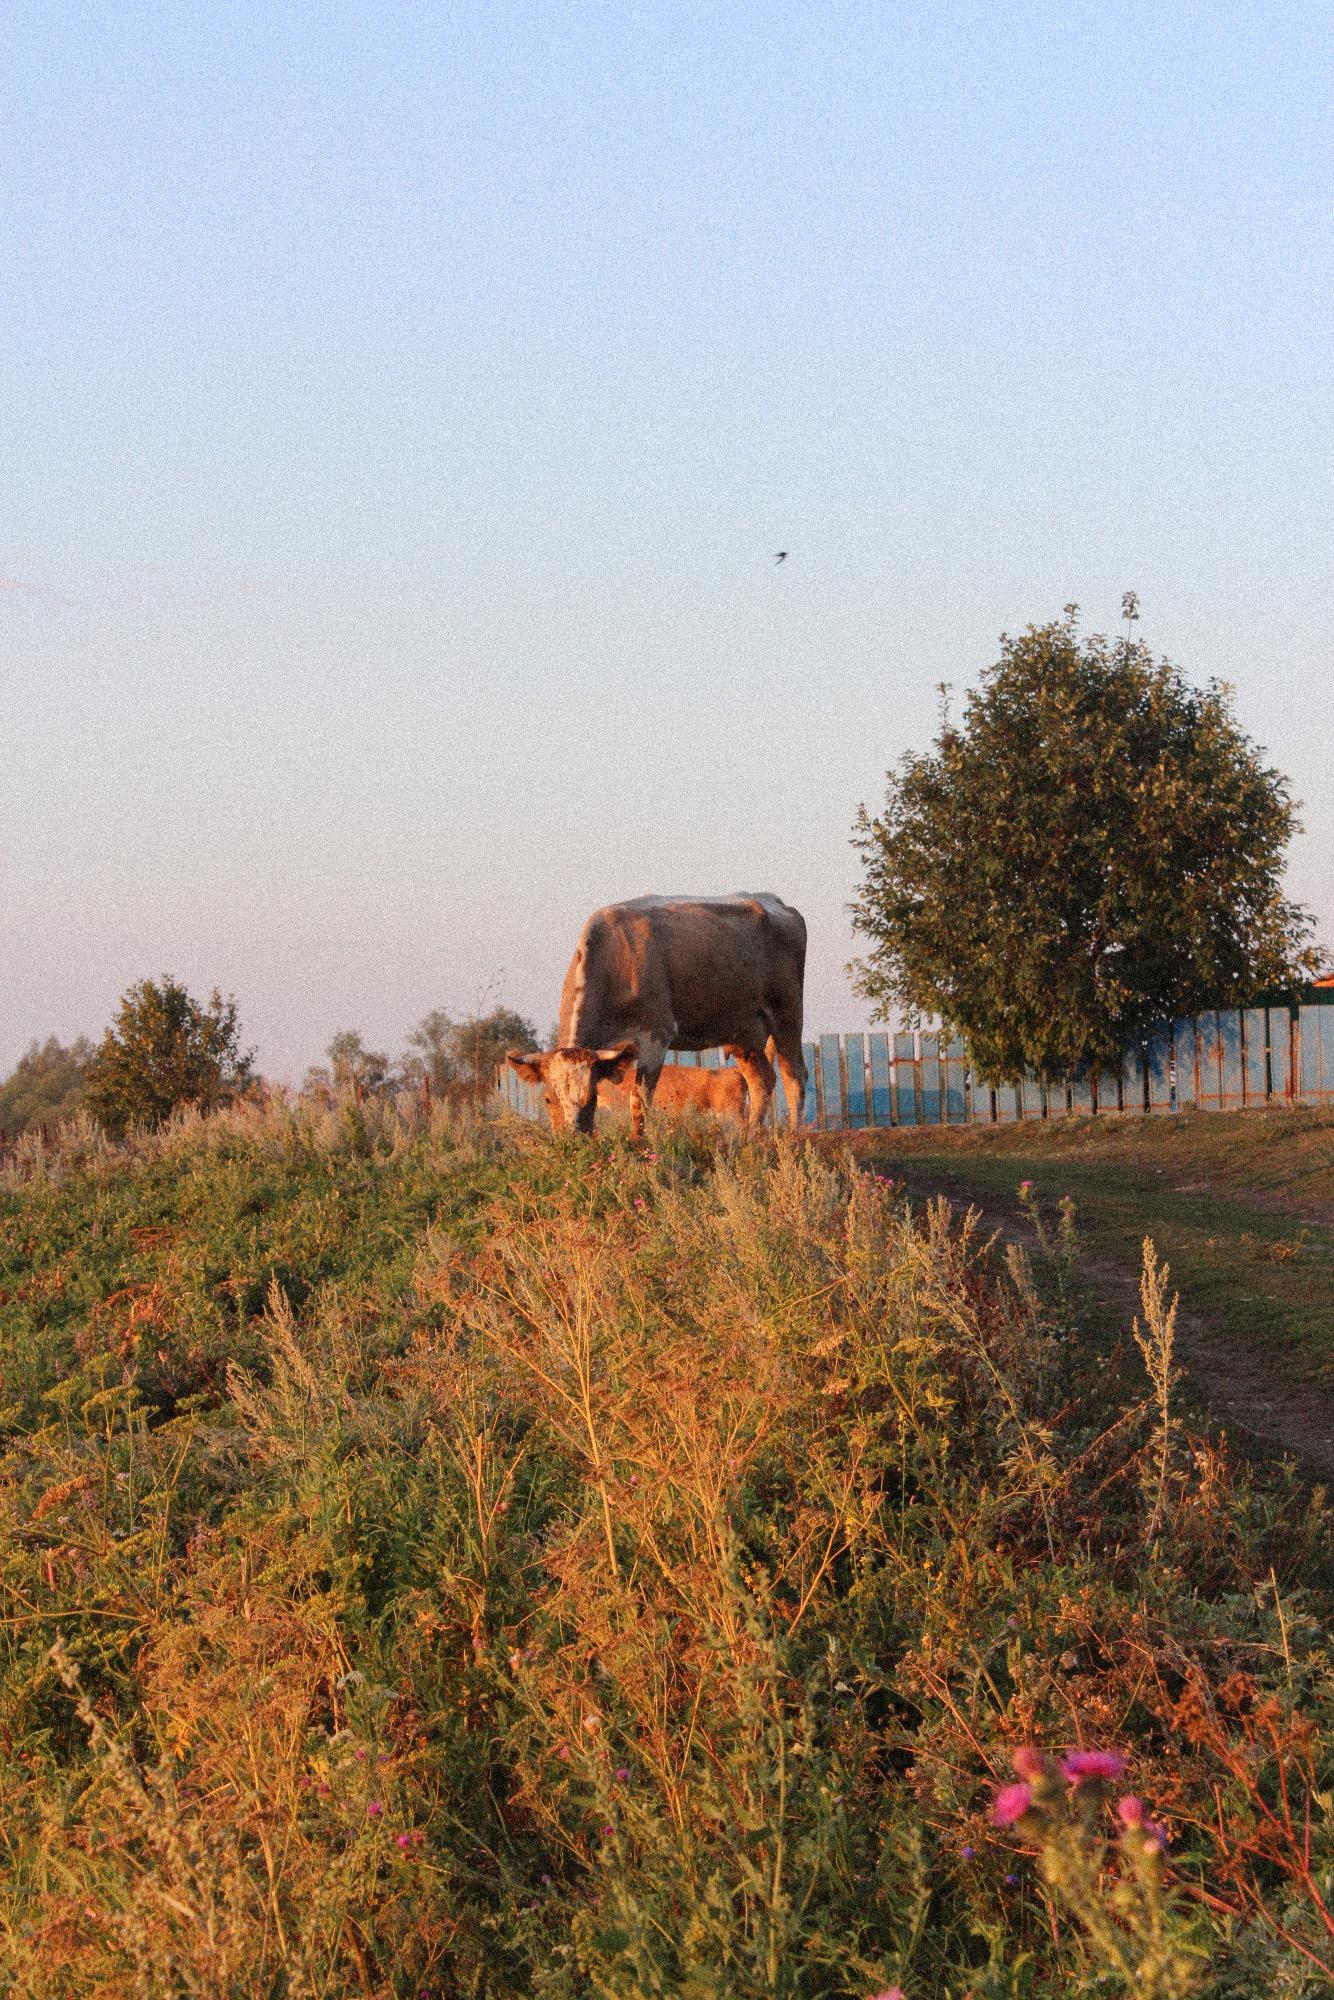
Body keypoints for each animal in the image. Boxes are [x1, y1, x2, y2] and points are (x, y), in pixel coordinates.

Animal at [506, 896, 808, 1144]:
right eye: (548, 1099)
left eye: (591, 1098)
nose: (570, 1144)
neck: (616, 960)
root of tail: (777, 903)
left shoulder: (656, 1036)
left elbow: (639, 1100)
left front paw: (639, 1145)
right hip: (744, 1031)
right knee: (761, 1080)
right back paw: (751, 1138)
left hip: (788, 1015)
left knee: (794, 1076)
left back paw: (794, 1138)